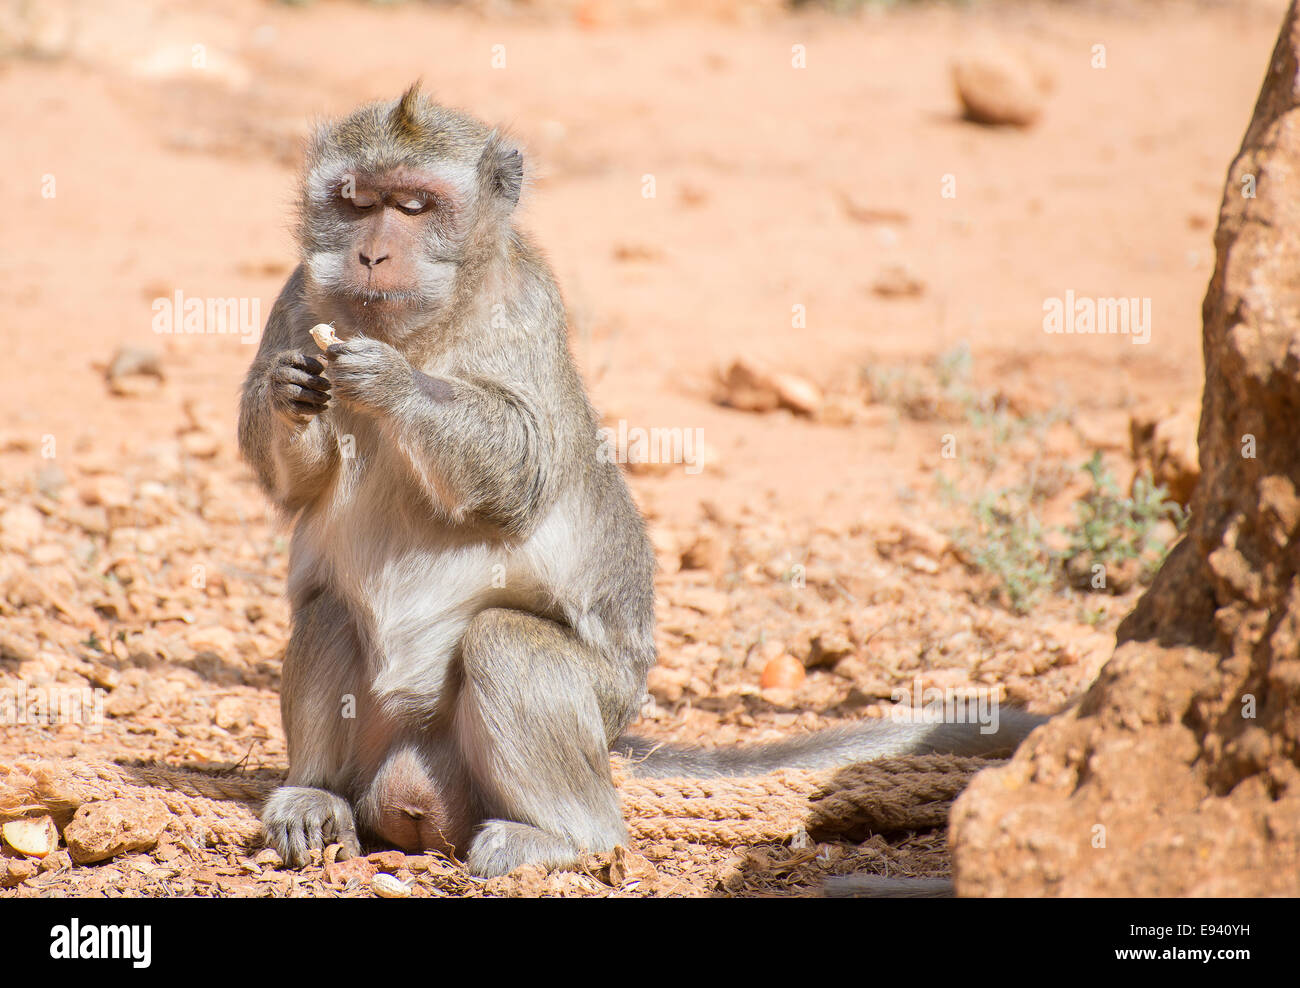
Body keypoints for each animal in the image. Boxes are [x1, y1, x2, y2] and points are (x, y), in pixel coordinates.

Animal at [238, 84, 1046, 878]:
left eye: (414, 206)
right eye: (354, 200)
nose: (372, 253)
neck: (427, 326)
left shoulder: (527, 307)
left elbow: (523, 469)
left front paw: (393, 382)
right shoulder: (295, 297)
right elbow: (291, 484)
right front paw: (288, 390)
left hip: (595, 710)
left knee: (508, 643)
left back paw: (567, 838)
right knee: (332, 613)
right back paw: (314, 796)